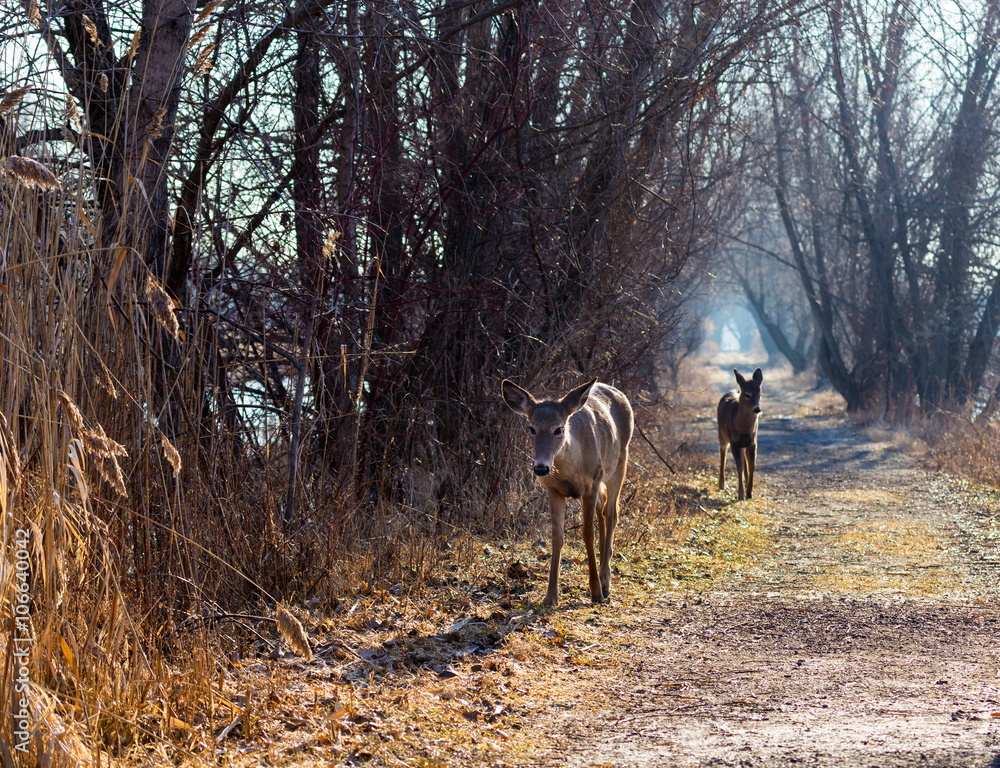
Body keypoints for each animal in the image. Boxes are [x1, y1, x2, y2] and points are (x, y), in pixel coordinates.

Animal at [501, 378, 633, 606]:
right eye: (531, 428)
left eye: (559, 429)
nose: (541, 468)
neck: (570, 470)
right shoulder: (553, 489)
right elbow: (557, 536)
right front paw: (550, 596)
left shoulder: (591, 484)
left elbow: (587, 533)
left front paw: (595, 591)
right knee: (603, 511)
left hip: (619, 464)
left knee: (612, 513)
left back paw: (605, 580)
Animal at [717, 367, 763, 501]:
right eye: (748, 395)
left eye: (760, 395)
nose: (757, 409)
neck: (744, 430)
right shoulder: (734, 442)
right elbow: (739, 466)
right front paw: (741, 494)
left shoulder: (753, 441)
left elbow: (752, 465)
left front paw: (750, 492)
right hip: (722, 435)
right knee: (723, 452)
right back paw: (721, 484)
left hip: (743, 444)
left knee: (745, 460)